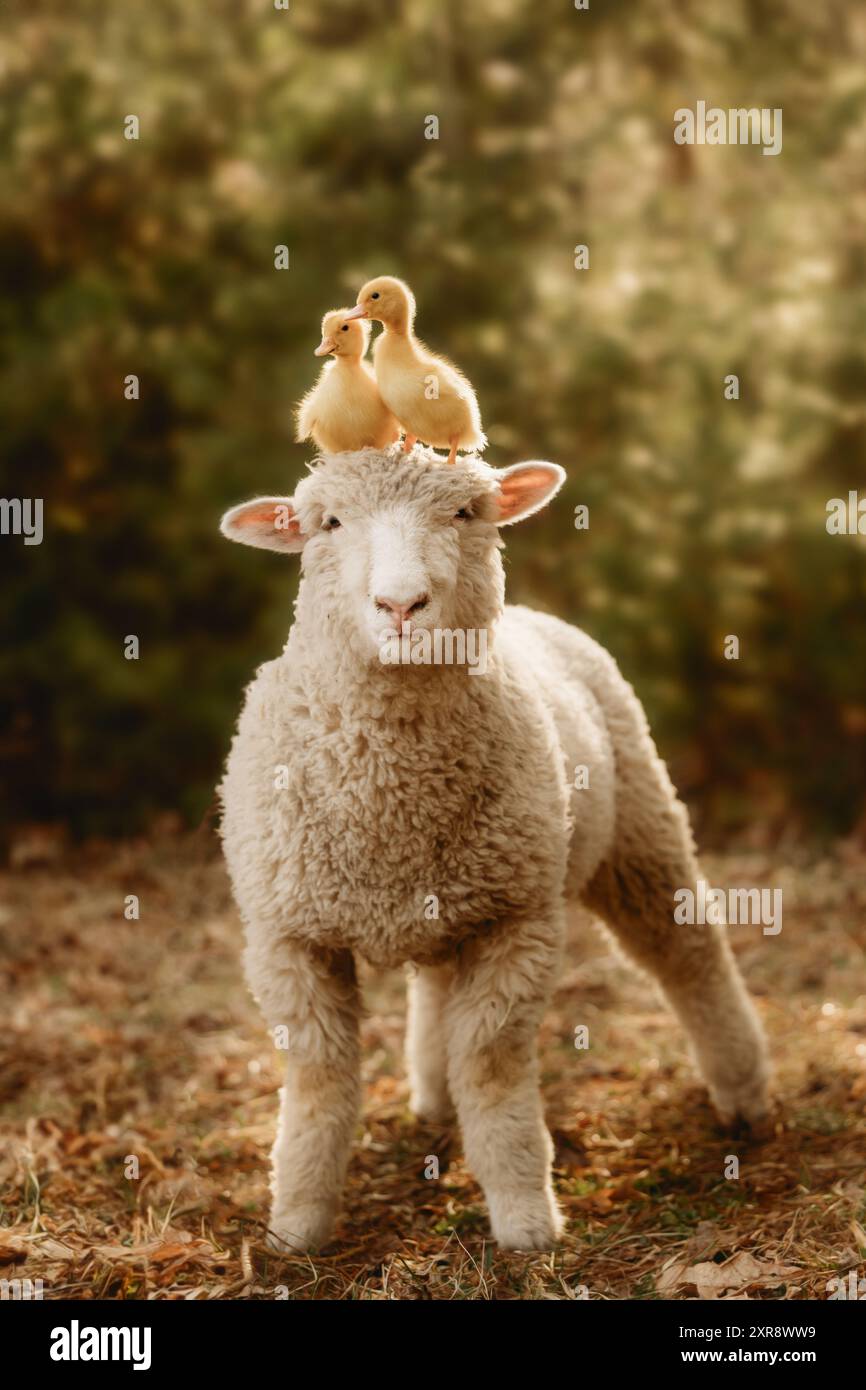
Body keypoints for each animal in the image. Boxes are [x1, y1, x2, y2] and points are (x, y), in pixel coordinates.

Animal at [218, 443, 769, 1254]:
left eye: (465, 513)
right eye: (329, 523)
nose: (401, 606)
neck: (391, 800)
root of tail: (538, 614)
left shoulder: (518, 923)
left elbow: (491, 1069)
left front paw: (525, 1220)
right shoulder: (288, 939)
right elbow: (319, 1081)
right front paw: (297, 1227)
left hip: (638, 827)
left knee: (689, 954)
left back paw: (745, 1094)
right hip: (456, 895)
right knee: (436, 988)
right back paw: (433, 1099)